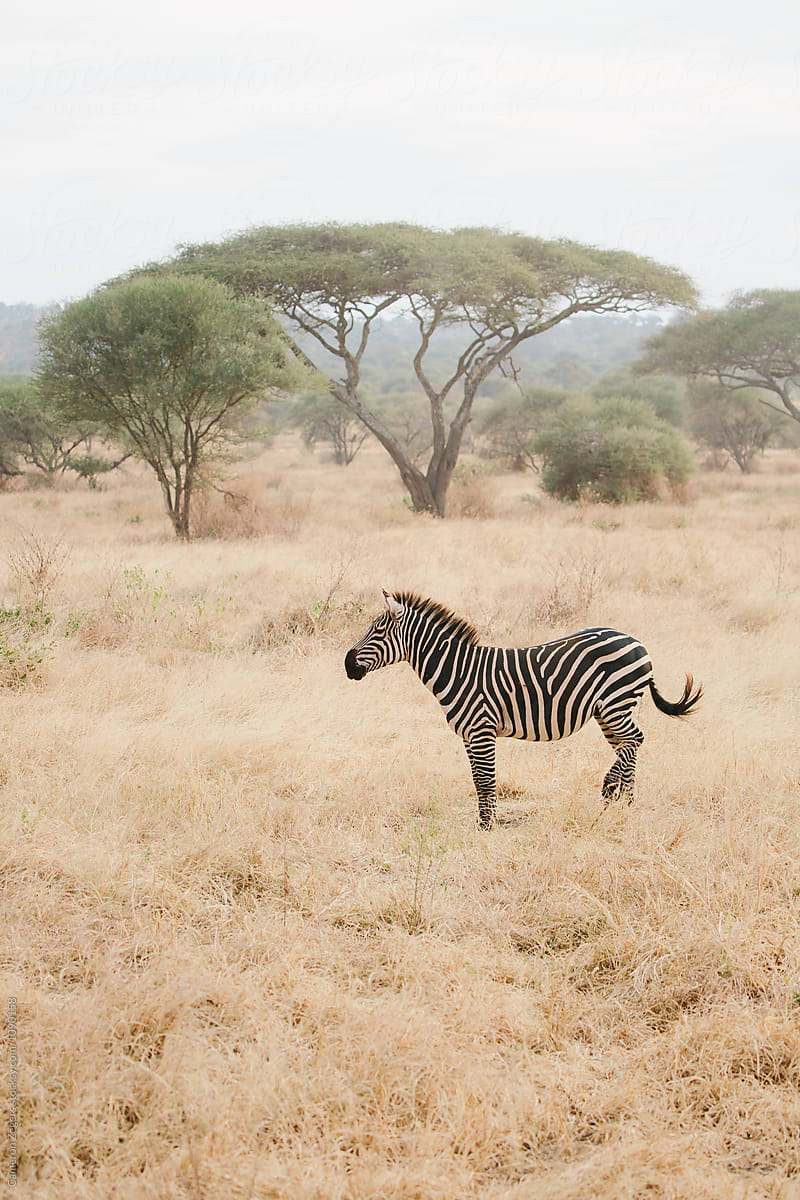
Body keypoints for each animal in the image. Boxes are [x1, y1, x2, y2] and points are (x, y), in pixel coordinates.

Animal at [345, 590, 702, 828]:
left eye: (377, 630)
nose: (347, 664)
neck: (458, 670)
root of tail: (636, 641)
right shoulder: (469, 735)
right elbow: (478, 780)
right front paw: (485, 823)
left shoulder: (482, 730)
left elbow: (485, 780)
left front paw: (487, 827)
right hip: (609, 712)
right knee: (628, 745)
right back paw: (623, 801)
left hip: (616, 703)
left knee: (635, 740)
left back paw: (610, 788)